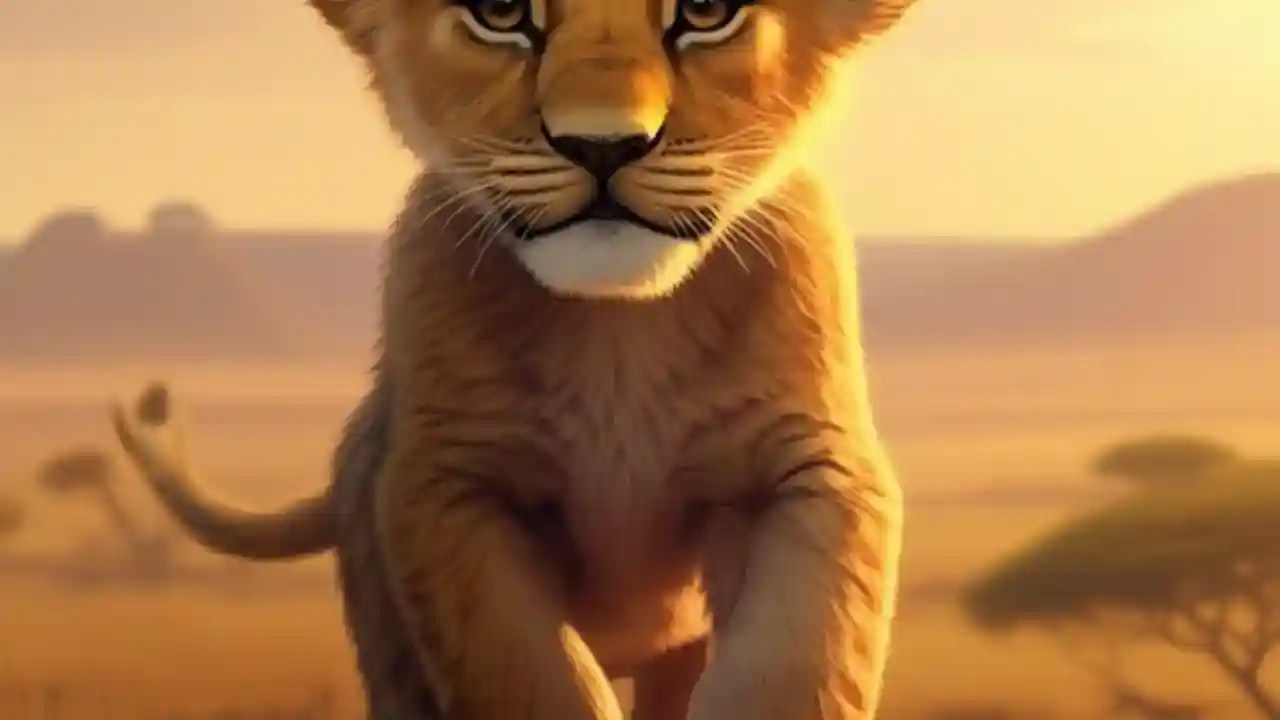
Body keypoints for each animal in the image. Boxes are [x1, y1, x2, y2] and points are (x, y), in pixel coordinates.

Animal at [111, 0, 919, 718]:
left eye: (707, 13)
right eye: (501, 15)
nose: (603, 146)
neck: (618, 325)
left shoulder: (810, 465)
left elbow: (793, 663)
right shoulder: (447, 486)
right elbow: (535, 678)